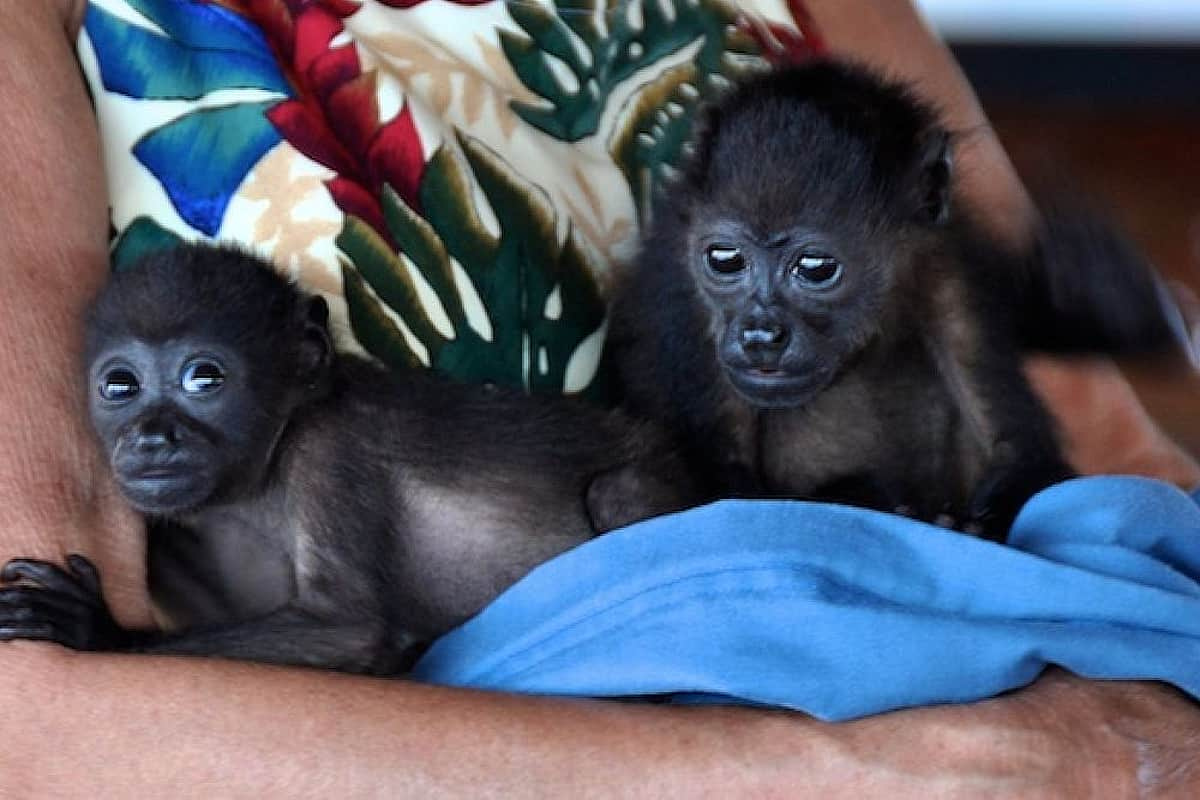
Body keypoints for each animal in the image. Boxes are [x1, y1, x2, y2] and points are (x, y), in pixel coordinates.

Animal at [0, 245, 700, 676]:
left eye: (203, 378)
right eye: (120, 386)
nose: (150, 438)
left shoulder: (331, 451)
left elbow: (346, 627)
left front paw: (104, 633)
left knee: (621, 494)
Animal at [604, 61, 1185, 537]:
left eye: (815, 268)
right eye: (724, 259)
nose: (760, 333)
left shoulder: (951, 270)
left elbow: (1020, 449)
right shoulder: (676, 288)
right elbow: (727, 490)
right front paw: (862, 497)